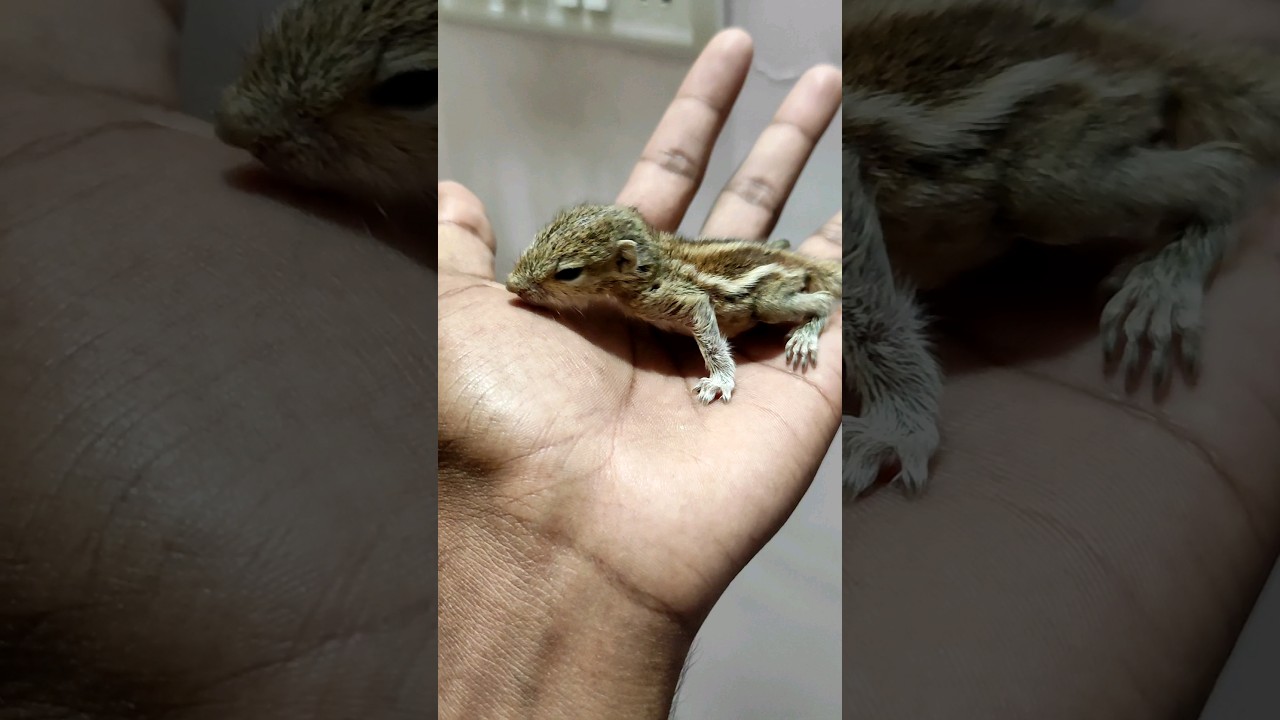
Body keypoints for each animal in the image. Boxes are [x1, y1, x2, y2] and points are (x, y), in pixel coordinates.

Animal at [506, 204, 842, 404]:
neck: (652, 258)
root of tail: (800, 261)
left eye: (568, 273)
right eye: (537, 237)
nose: (511, 284)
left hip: (770, 301)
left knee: (824, 300)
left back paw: (805, 336)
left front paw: (719, 379)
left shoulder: (676, 299)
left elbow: (709, 335)